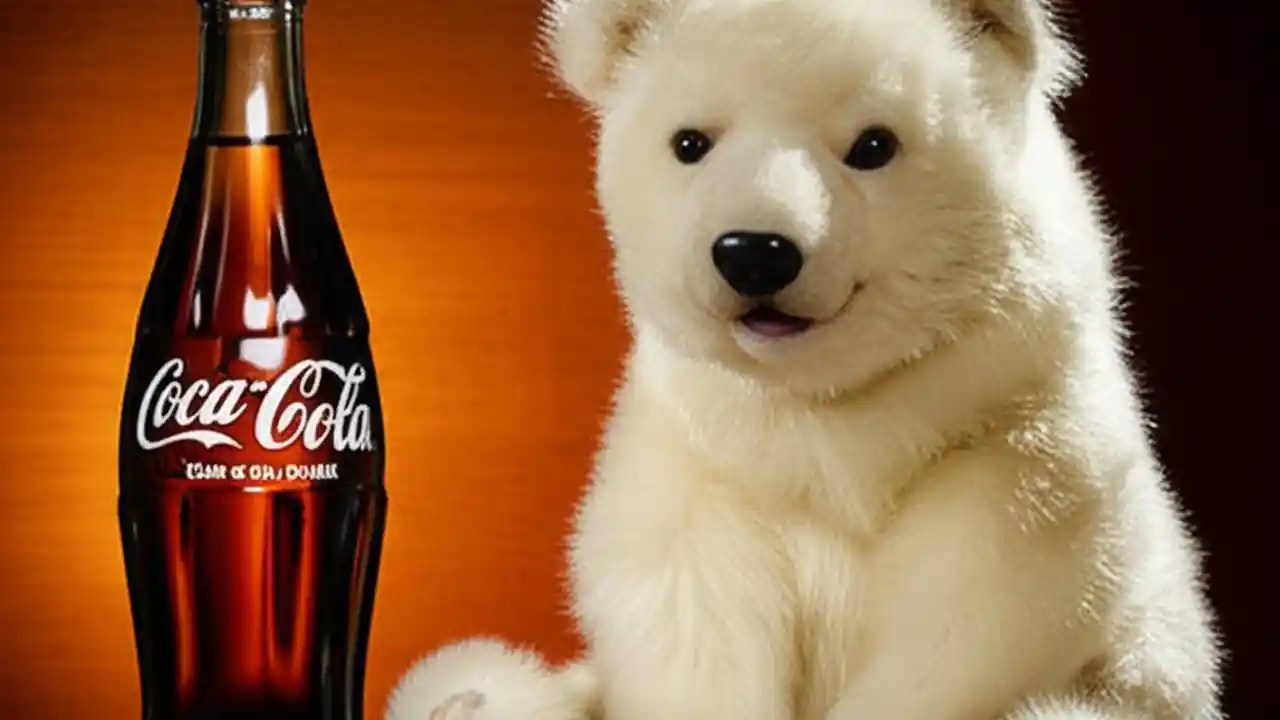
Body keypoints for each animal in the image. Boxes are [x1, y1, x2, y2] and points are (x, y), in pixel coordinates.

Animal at [387, 0, 1222, 718]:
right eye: (691, 142)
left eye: (874, 144)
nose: (754, 254)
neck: (824, 419)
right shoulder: (702, 463)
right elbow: (694, 619)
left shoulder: (1012, 441)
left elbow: (975, 611)